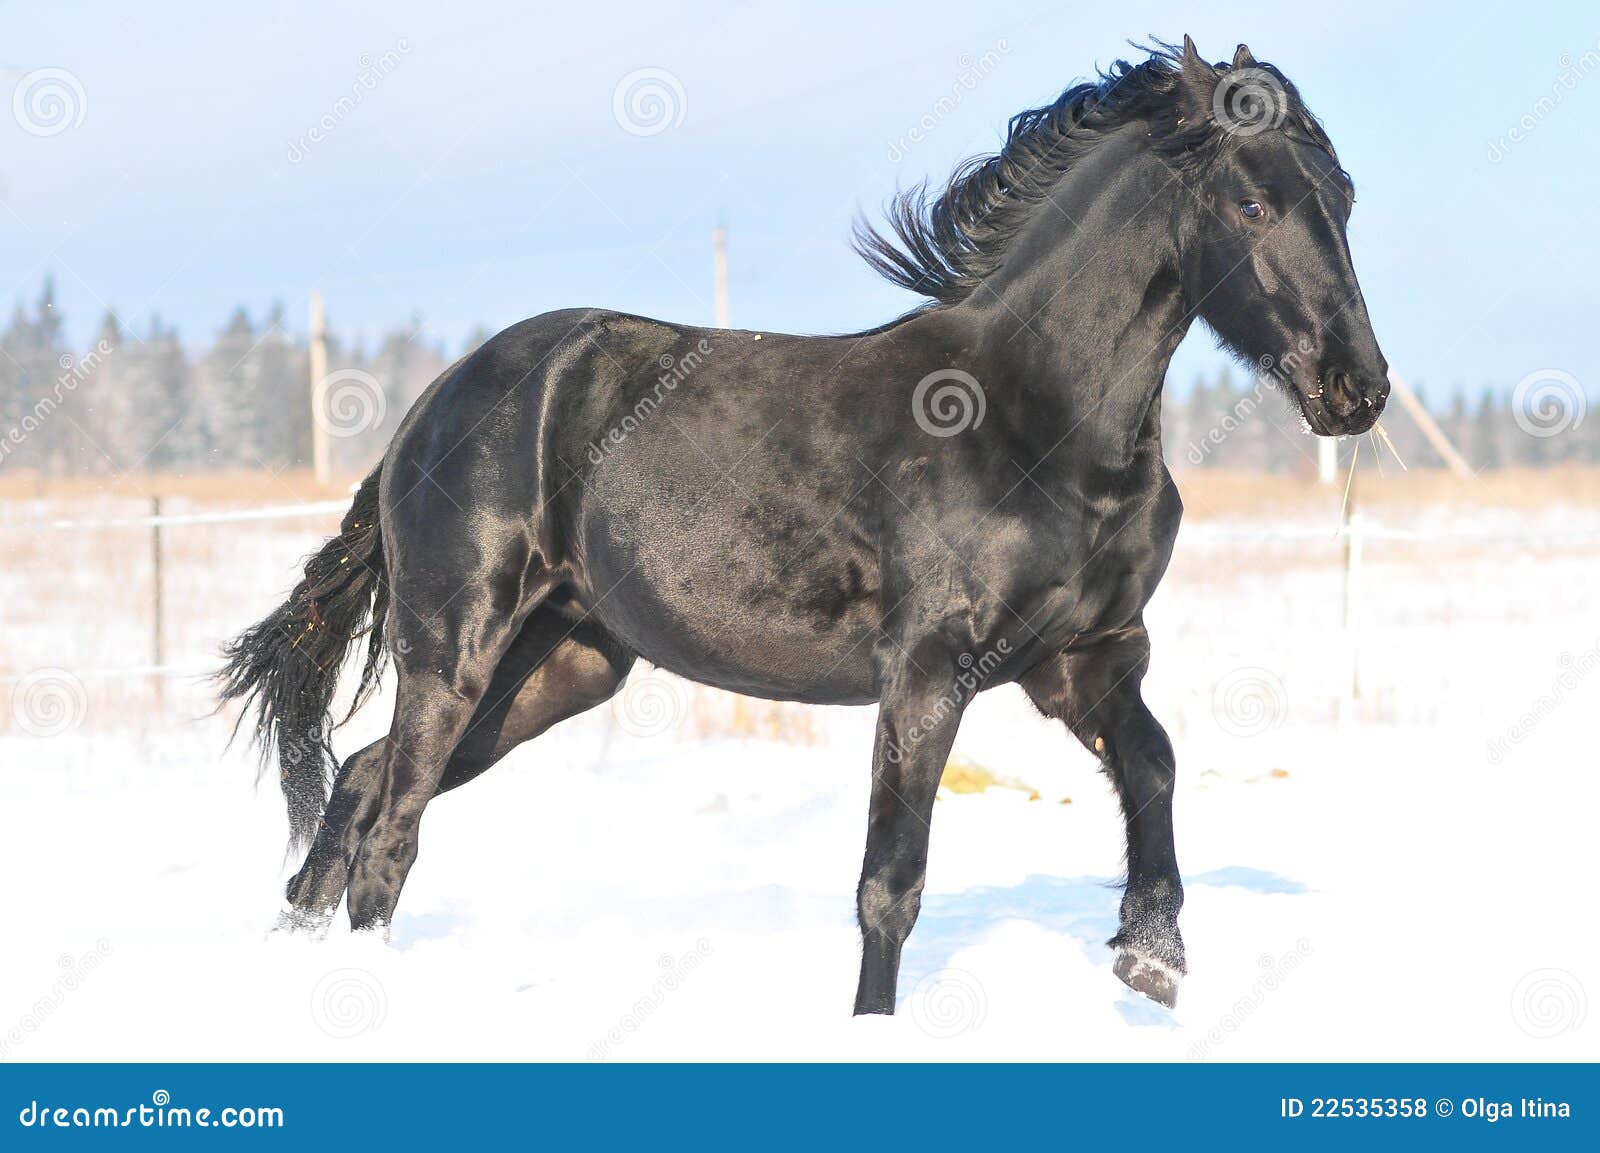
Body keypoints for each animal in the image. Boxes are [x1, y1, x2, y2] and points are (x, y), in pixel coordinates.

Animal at [221, 37, 1387, 1014]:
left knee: (362, 782)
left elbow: (1155, 768)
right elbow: (891, 882)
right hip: (458, 649)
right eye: (1252, 203)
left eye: (1342, 196)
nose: (1357, 390)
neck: (1036, 418)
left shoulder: (1086, 659)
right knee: (393, 825)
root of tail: (430, 405)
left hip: (559, 663)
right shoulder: (927, 672)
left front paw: (1150, 957)